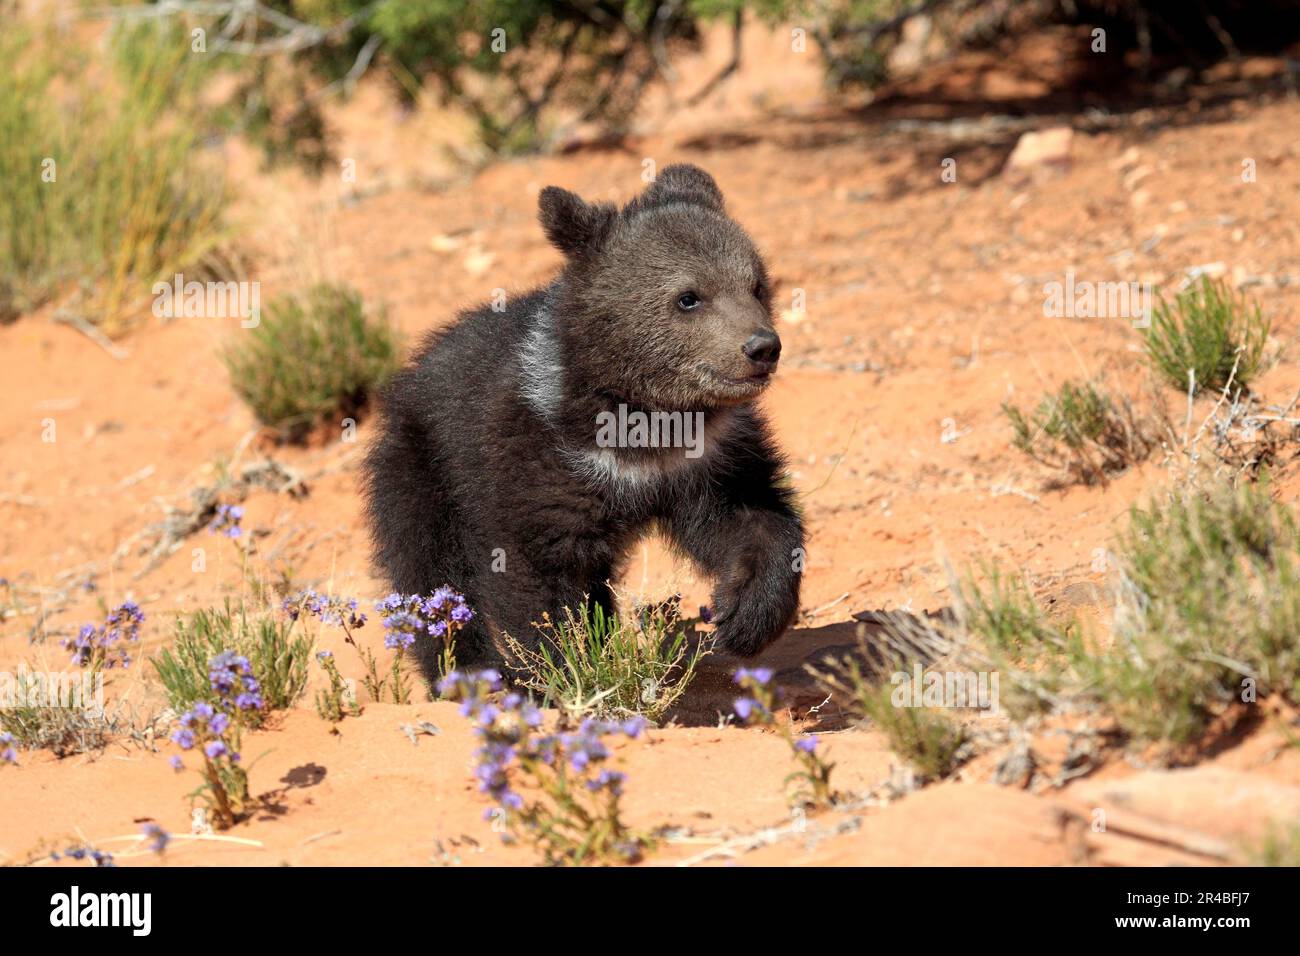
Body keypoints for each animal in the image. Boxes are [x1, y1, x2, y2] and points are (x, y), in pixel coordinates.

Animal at [361, 164, 804, 681]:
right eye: (688, 297)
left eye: (756, 284)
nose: (762, 347)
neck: (645, 418)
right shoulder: (537, 458)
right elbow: (537, 572)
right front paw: (569, 665)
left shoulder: (709, 461)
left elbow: (754, 518)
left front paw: (745, 615)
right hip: (422, 468)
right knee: (428, 568)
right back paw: (468, 671)